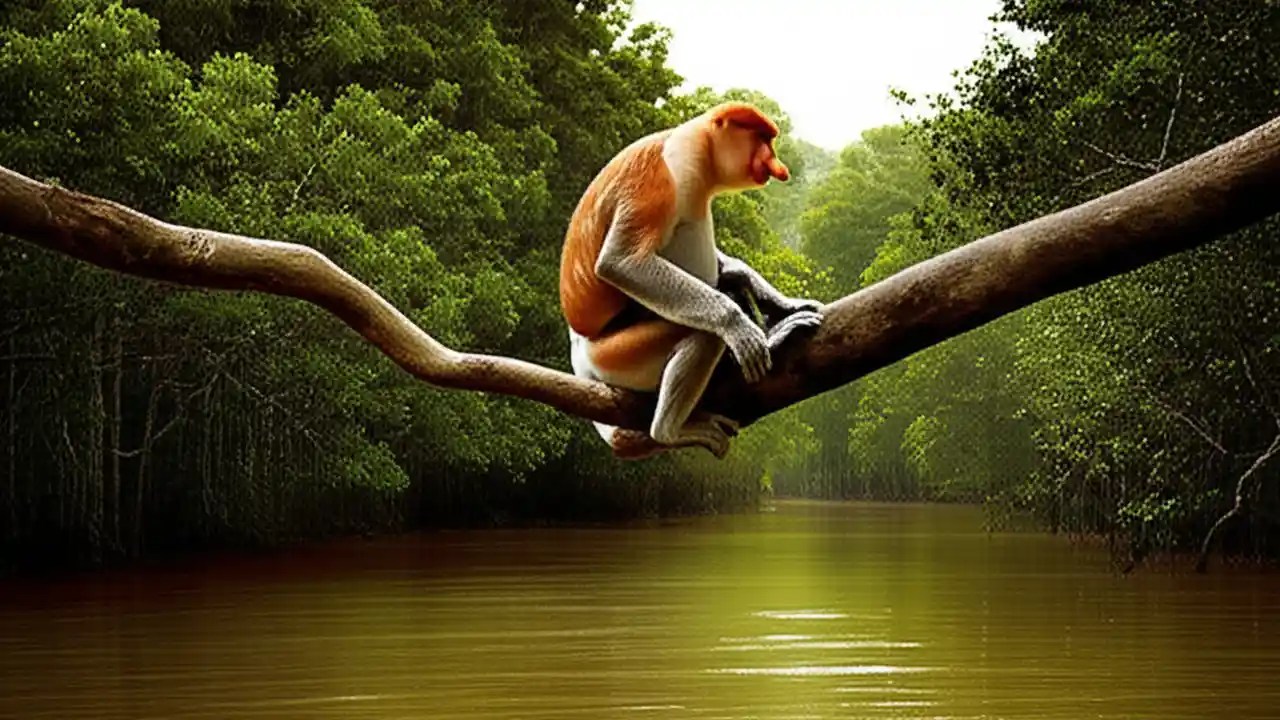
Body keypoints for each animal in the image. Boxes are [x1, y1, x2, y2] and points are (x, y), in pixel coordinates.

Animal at [559, 102, 824, 460]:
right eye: (762, 139)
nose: (778, 166)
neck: (697, 146)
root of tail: (579, 352)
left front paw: (781, 301)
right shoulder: (661, 179)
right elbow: (621, 261)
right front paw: (738, 327)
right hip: (615, 355)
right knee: (705, 335)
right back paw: (672, 430)